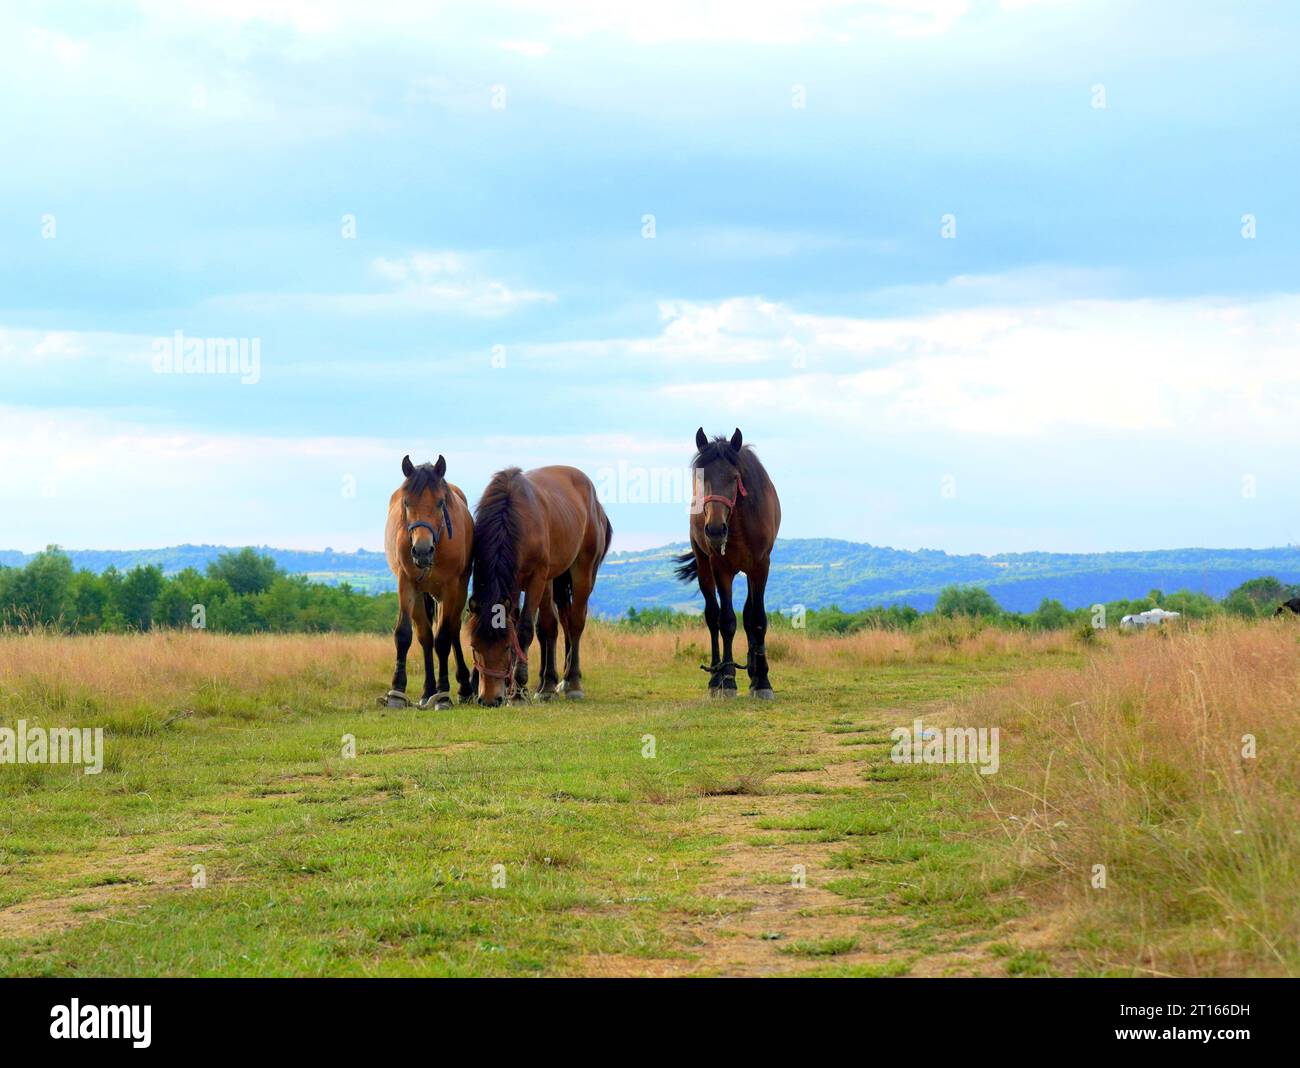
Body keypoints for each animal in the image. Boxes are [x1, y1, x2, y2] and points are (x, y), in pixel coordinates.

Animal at [379, 454, 474, 710]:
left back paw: (463, 687)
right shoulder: (407, 583)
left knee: (452, 630)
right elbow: (404, 635)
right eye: (406, 502)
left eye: (440, 503)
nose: (422, 551)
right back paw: (427, 690)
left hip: (455, 592)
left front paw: (443, 695)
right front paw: (396, 692)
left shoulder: (451, 588)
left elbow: (444, 639)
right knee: (425, 636)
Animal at [467, 466, 612, 706]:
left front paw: (518, 692)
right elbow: (534, 627)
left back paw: (572, 682)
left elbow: (525, 630)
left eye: (506, 647)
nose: (489, 699)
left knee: (575, 623)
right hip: (555, 581)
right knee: (557, 624)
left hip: (583, 573)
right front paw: (531, 687)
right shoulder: (517, 584)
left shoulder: (537, 578)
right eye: (474, 646)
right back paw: (555, 682)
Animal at [675, 428, 781, 699]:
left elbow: (757, 619)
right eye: (700, 477)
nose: (714, 530)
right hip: (705, 567)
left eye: (734, 477)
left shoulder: (760, 566)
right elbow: (727, 622)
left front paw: (762, 680)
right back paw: (716, 676)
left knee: (747, 614)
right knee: (713, 617)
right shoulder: (721, 568)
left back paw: (752, 671)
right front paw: (728, 680)